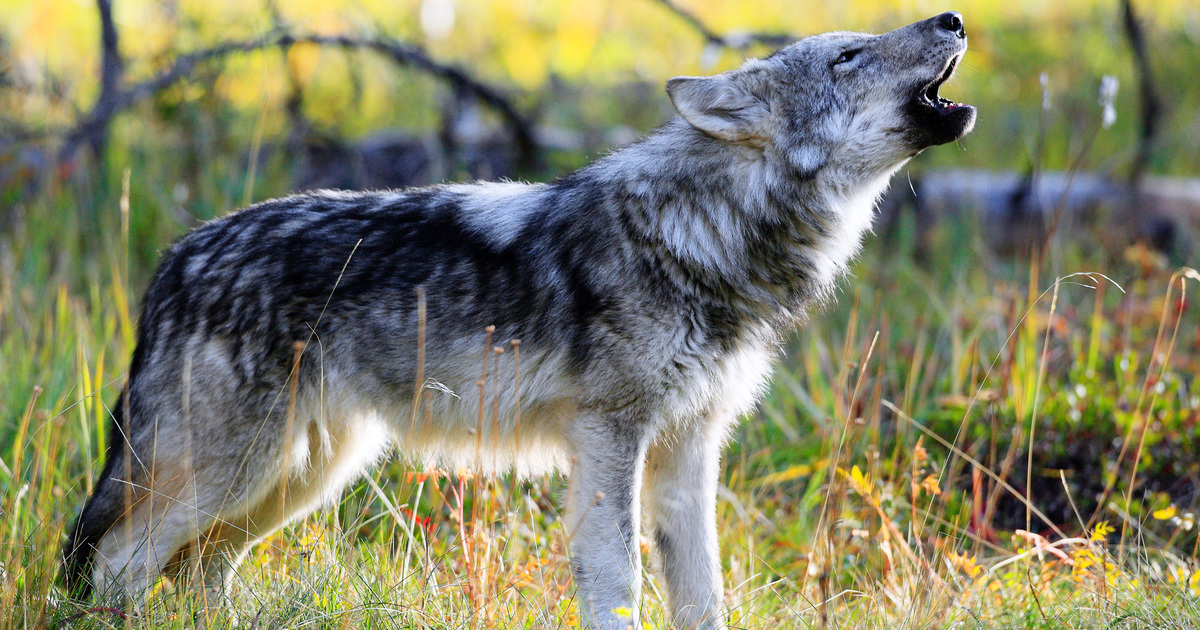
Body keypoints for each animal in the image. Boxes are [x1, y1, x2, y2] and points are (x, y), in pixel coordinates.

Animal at [63, 12, 974, 629]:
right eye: (848, 56)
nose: (953, 17)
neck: (703, 233)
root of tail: (175, 259)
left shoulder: (689, 449)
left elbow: (703, 594)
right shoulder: (611, 436)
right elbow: (617, 580)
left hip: (298, 478)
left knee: (197, 571)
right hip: (238, 474)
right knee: (120, 563)